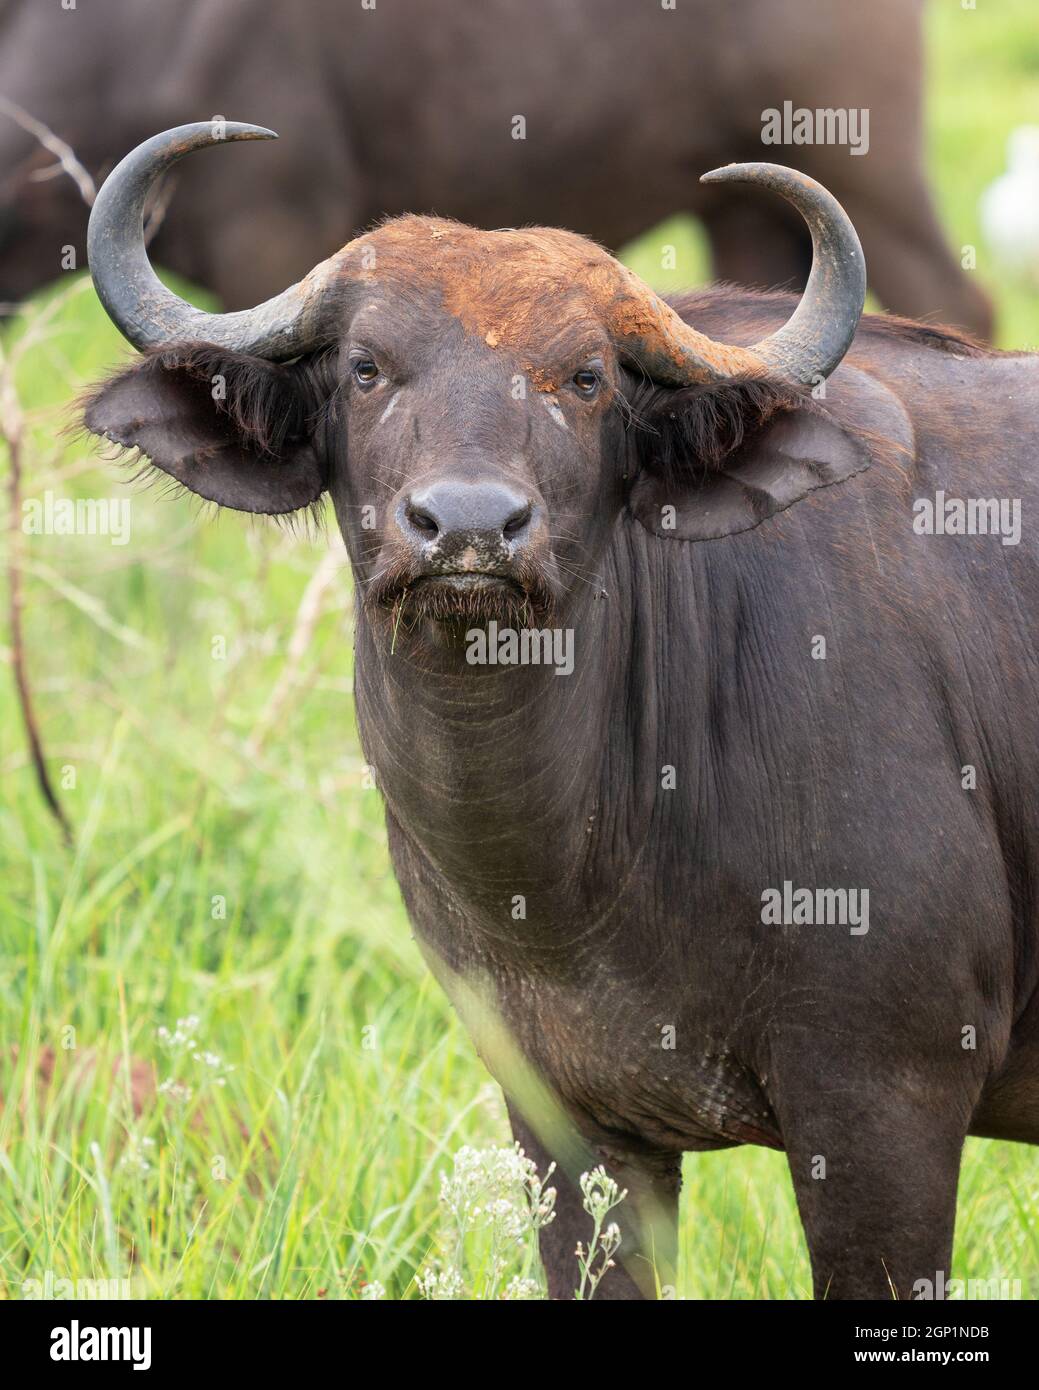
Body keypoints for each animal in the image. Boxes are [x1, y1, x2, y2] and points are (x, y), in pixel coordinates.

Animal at [83, 124, 1039, 1300]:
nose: (468, 525)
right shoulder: (568, 1121)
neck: (578, 870)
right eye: (365, 367)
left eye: (584, 378)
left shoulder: (884, 1102)